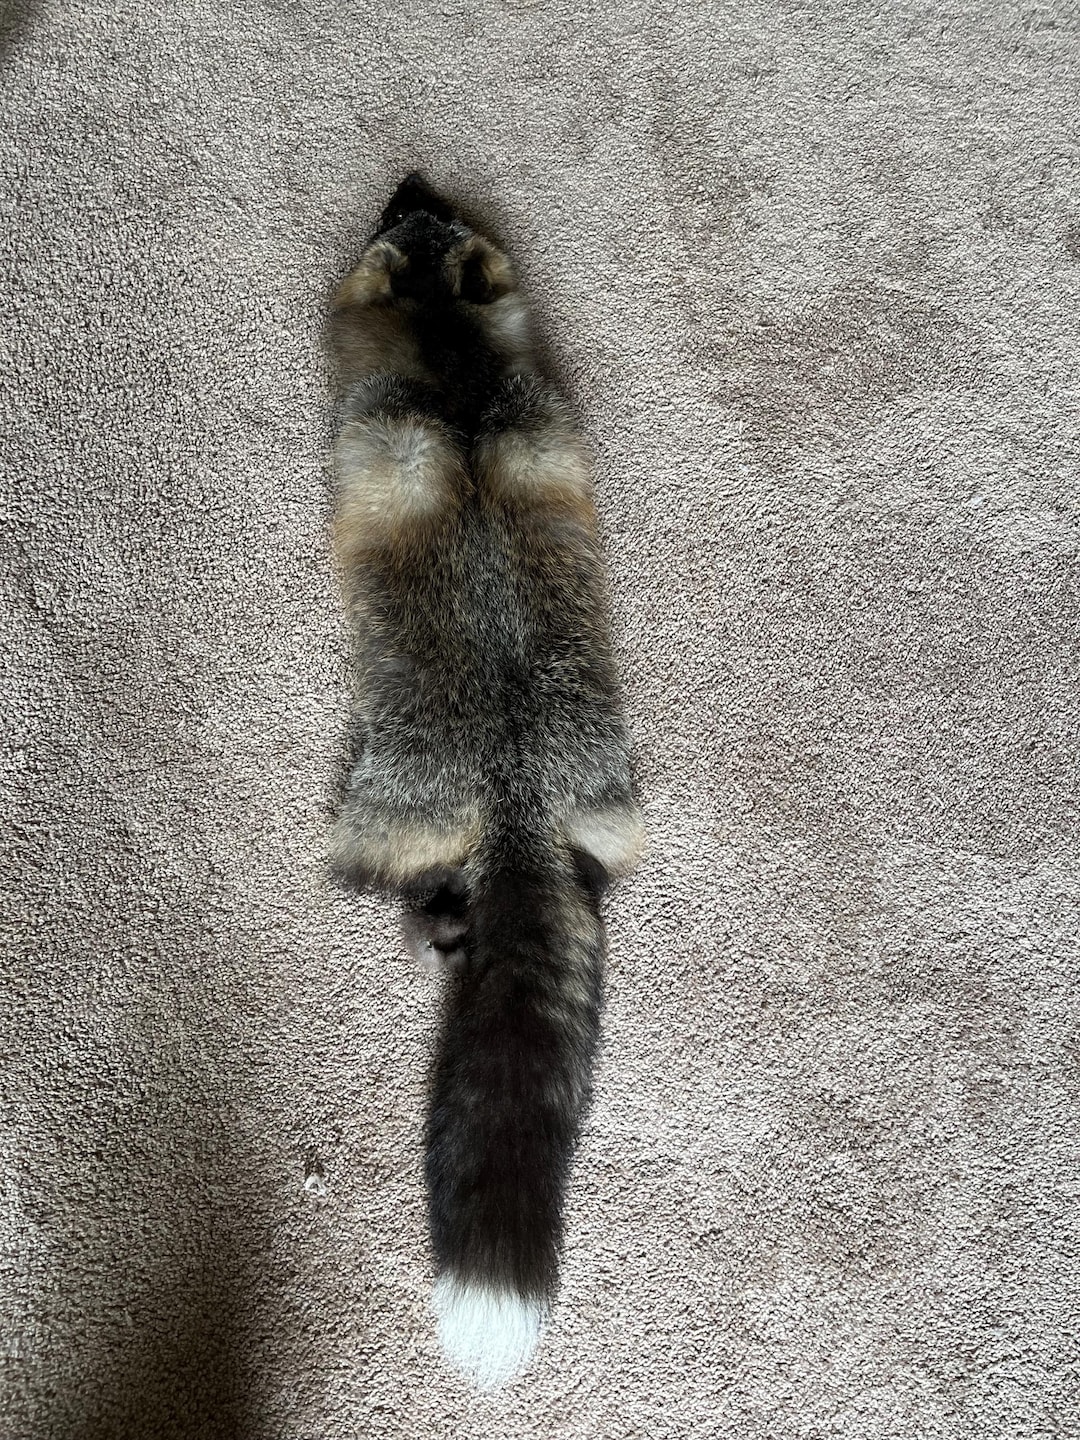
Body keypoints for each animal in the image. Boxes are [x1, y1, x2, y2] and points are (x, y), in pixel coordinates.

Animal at [328, 174, 643, 1388]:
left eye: (404, 221)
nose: (410, 174)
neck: (452, 365)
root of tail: (519, 803)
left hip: (384, 810)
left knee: (411, 901)